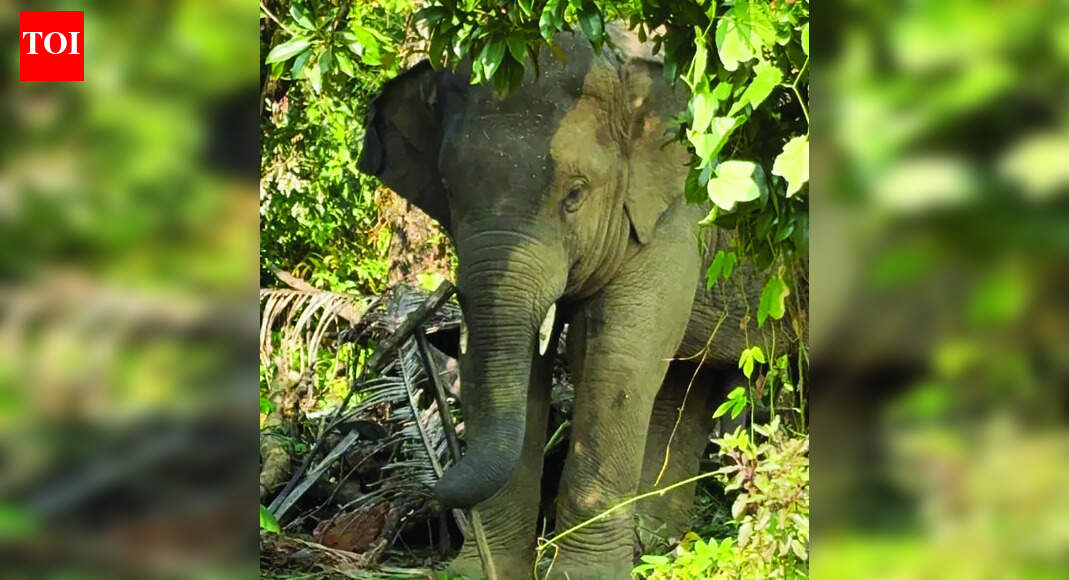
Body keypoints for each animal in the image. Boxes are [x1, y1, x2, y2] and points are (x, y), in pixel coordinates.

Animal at [358, 28, 794, 579]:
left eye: (575, 195)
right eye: (450, 193)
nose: (431, 492)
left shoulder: (677, 212)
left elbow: (619, 358)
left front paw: (583, 573)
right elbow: (507, 363)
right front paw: (480, 572)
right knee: (688, 384)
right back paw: (658, 547)